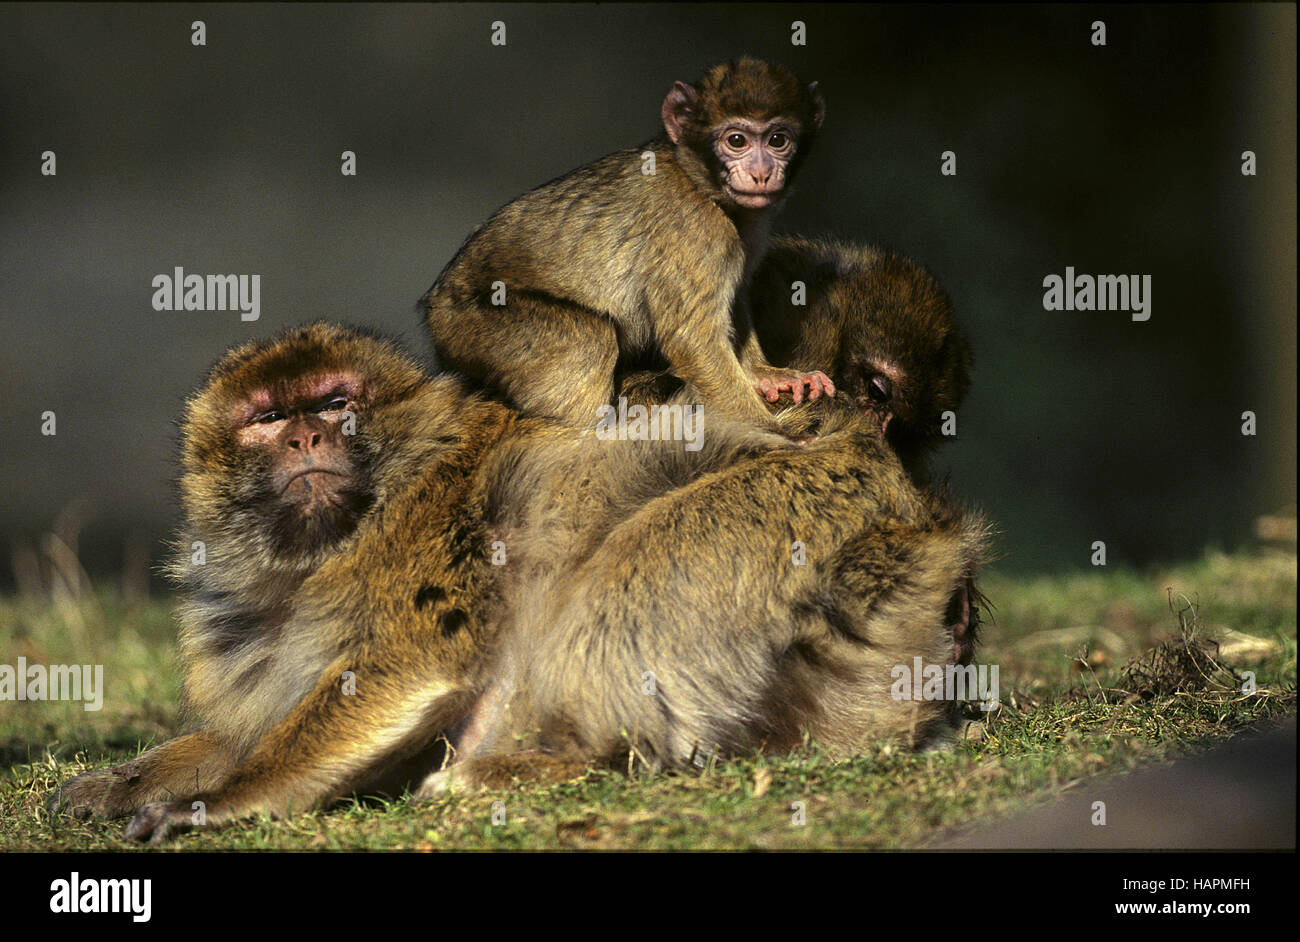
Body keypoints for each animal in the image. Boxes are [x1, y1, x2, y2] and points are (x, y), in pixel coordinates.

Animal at [421, 57, 831, 437]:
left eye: (777, 140)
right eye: (736, 141)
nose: (761, 173)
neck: (698, 180)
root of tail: (438, 301)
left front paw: (767, 375)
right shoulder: (695, 228)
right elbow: (692, 340)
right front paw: (776, 435)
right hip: (474, 324)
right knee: (590, 339)